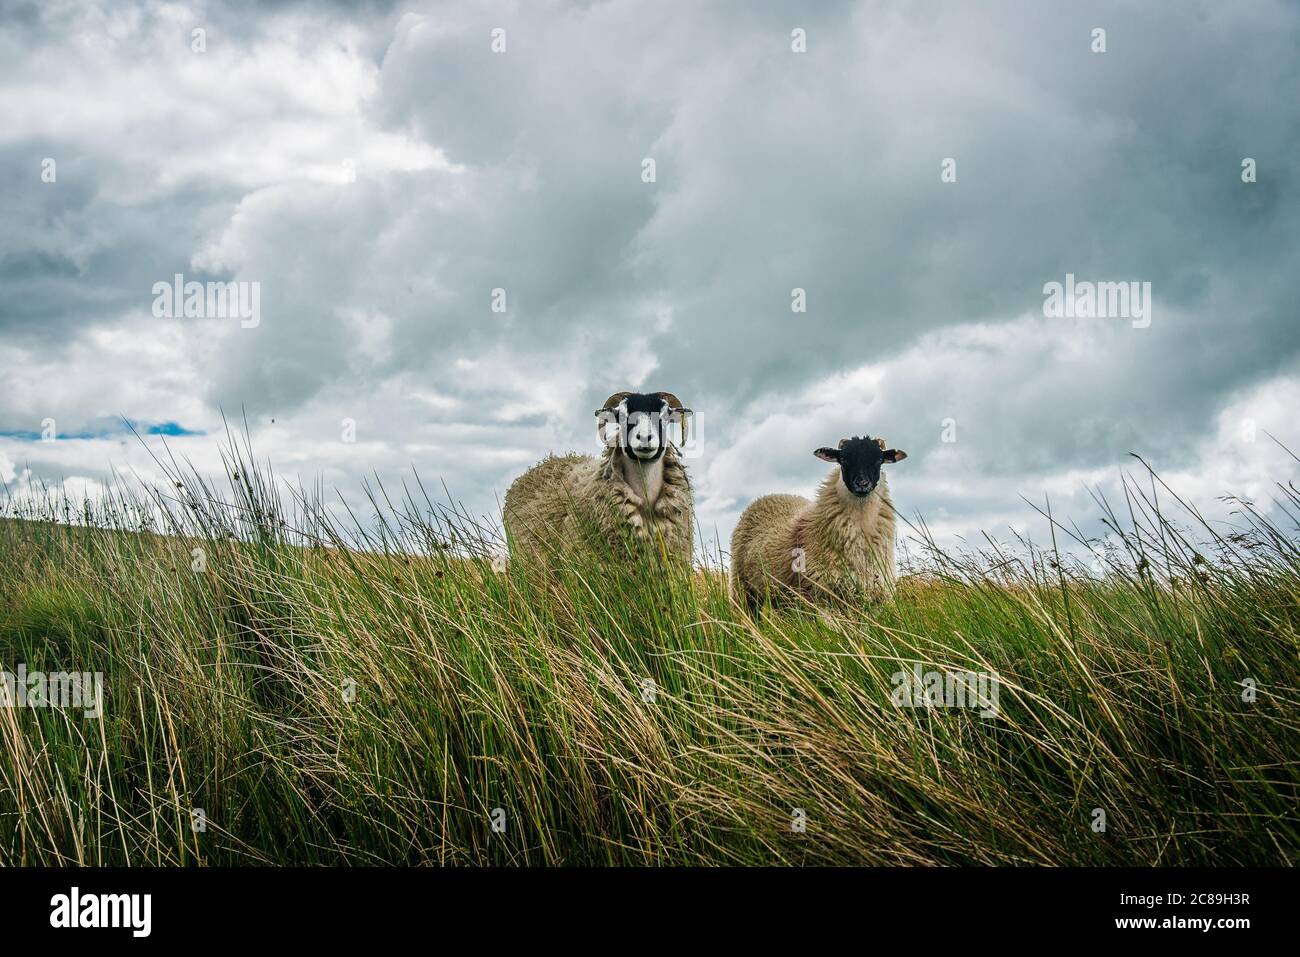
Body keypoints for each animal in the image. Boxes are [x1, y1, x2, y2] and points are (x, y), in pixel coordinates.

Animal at [730, 435, 907, 609]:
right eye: (843, 459)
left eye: (879, 459)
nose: (862, 484)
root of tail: (769, 495)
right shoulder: (819, 597)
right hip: (742, 591)